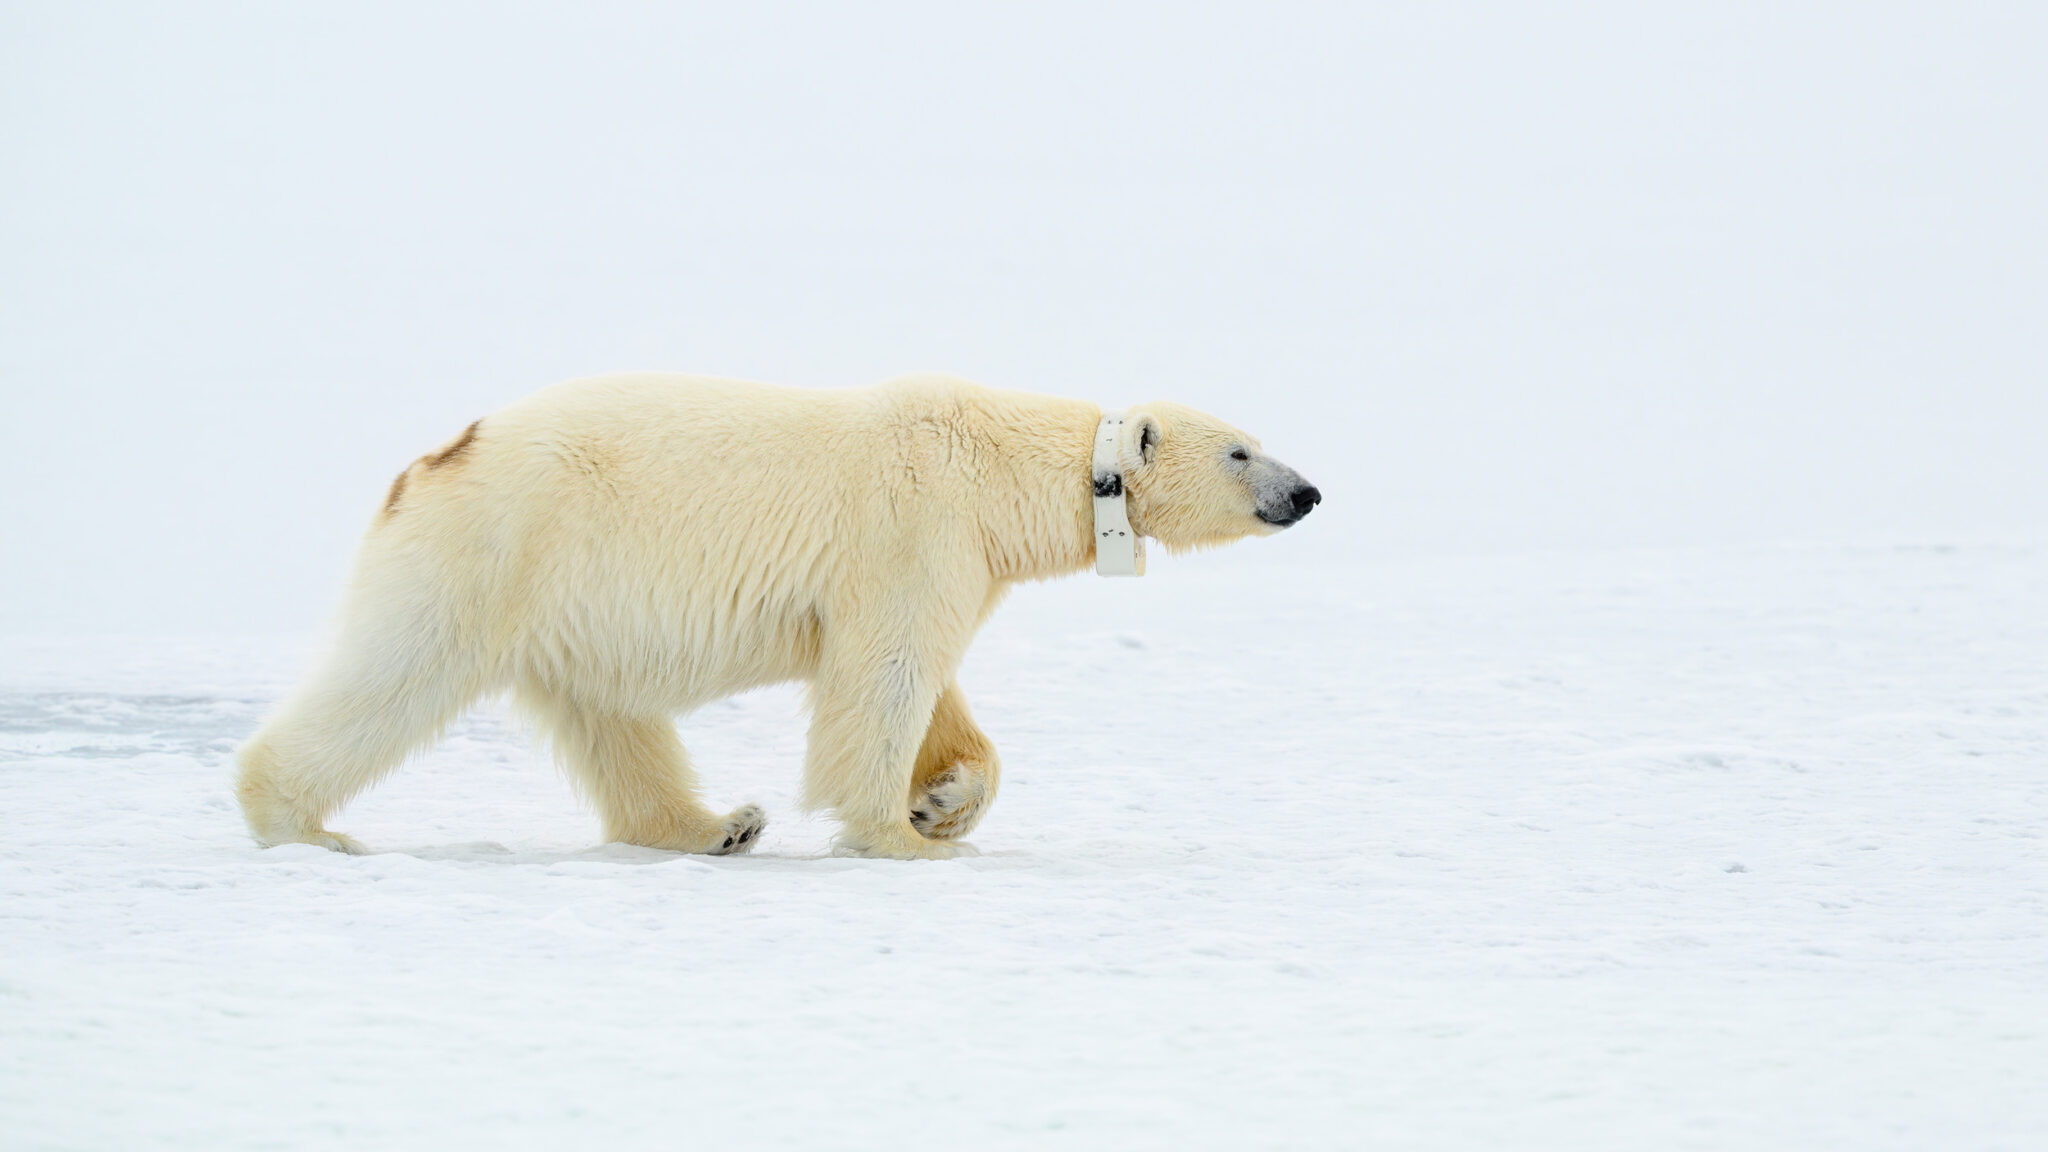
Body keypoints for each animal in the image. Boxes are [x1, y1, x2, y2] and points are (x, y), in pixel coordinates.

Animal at [234, 373, 1320, 859]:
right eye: (1240, 450)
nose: (1307, 492)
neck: (995, 465)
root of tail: (429, 461)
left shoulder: (945, 562)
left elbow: (925, 684)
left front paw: (944, 799)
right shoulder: (913, 525)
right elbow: (882, 680)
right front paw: (901, 835)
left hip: (567, 605)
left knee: (610, 722)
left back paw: (716, 824)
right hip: (493, 552)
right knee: (397, 671)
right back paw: (299, 823)